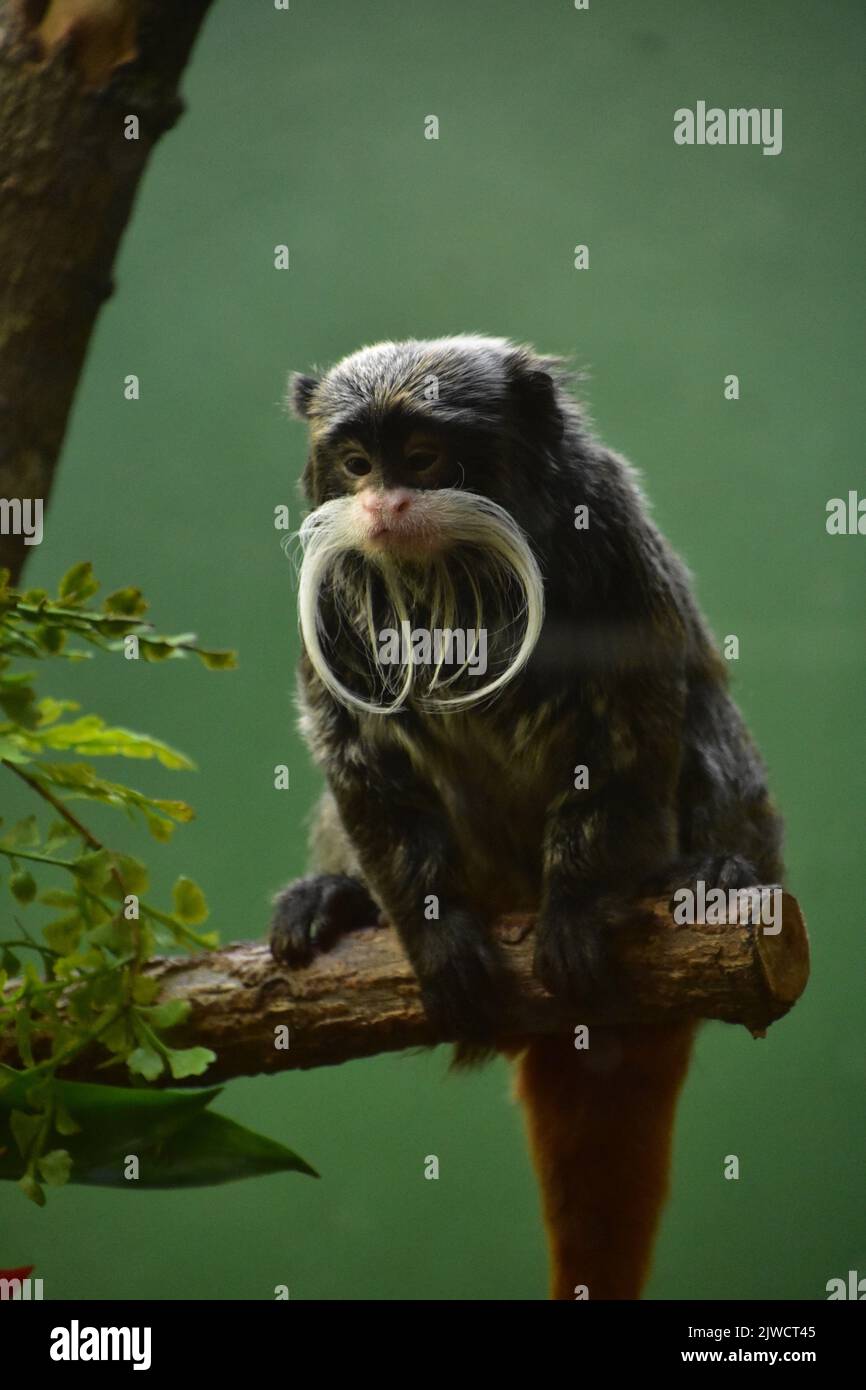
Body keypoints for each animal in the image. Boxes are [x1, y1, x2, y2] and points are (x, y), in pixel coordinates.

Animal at [269, 335, 784, 1300]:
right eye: (356, 464)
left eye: (423, 458)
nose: (384, 503)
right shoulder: (329, 595)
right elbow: (351, 747)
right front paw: (432, 935)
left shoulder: (609, 538)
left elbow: (633, 719)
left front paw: (576, 913)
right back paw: (336, 898)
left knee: (703, 718)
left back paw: (713, 873)